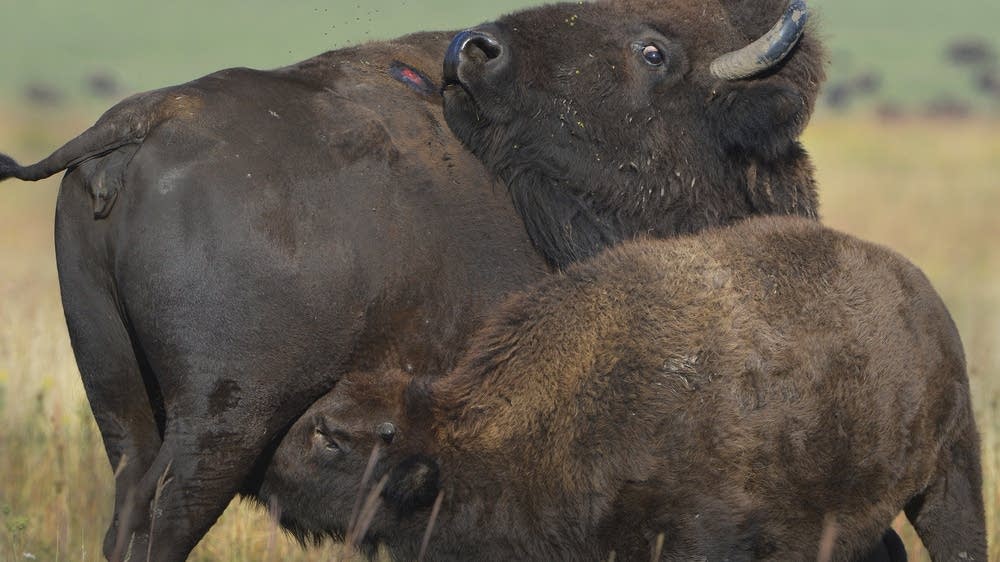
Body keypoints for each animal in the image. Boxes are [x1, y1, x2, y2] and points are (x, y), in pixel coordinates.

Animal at [1, 0, 826, 559]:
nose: (477, 48)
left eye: (654, 50)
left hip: (125, 408)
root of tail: (147, 119)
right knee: (163, 524)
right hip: (222, 427)